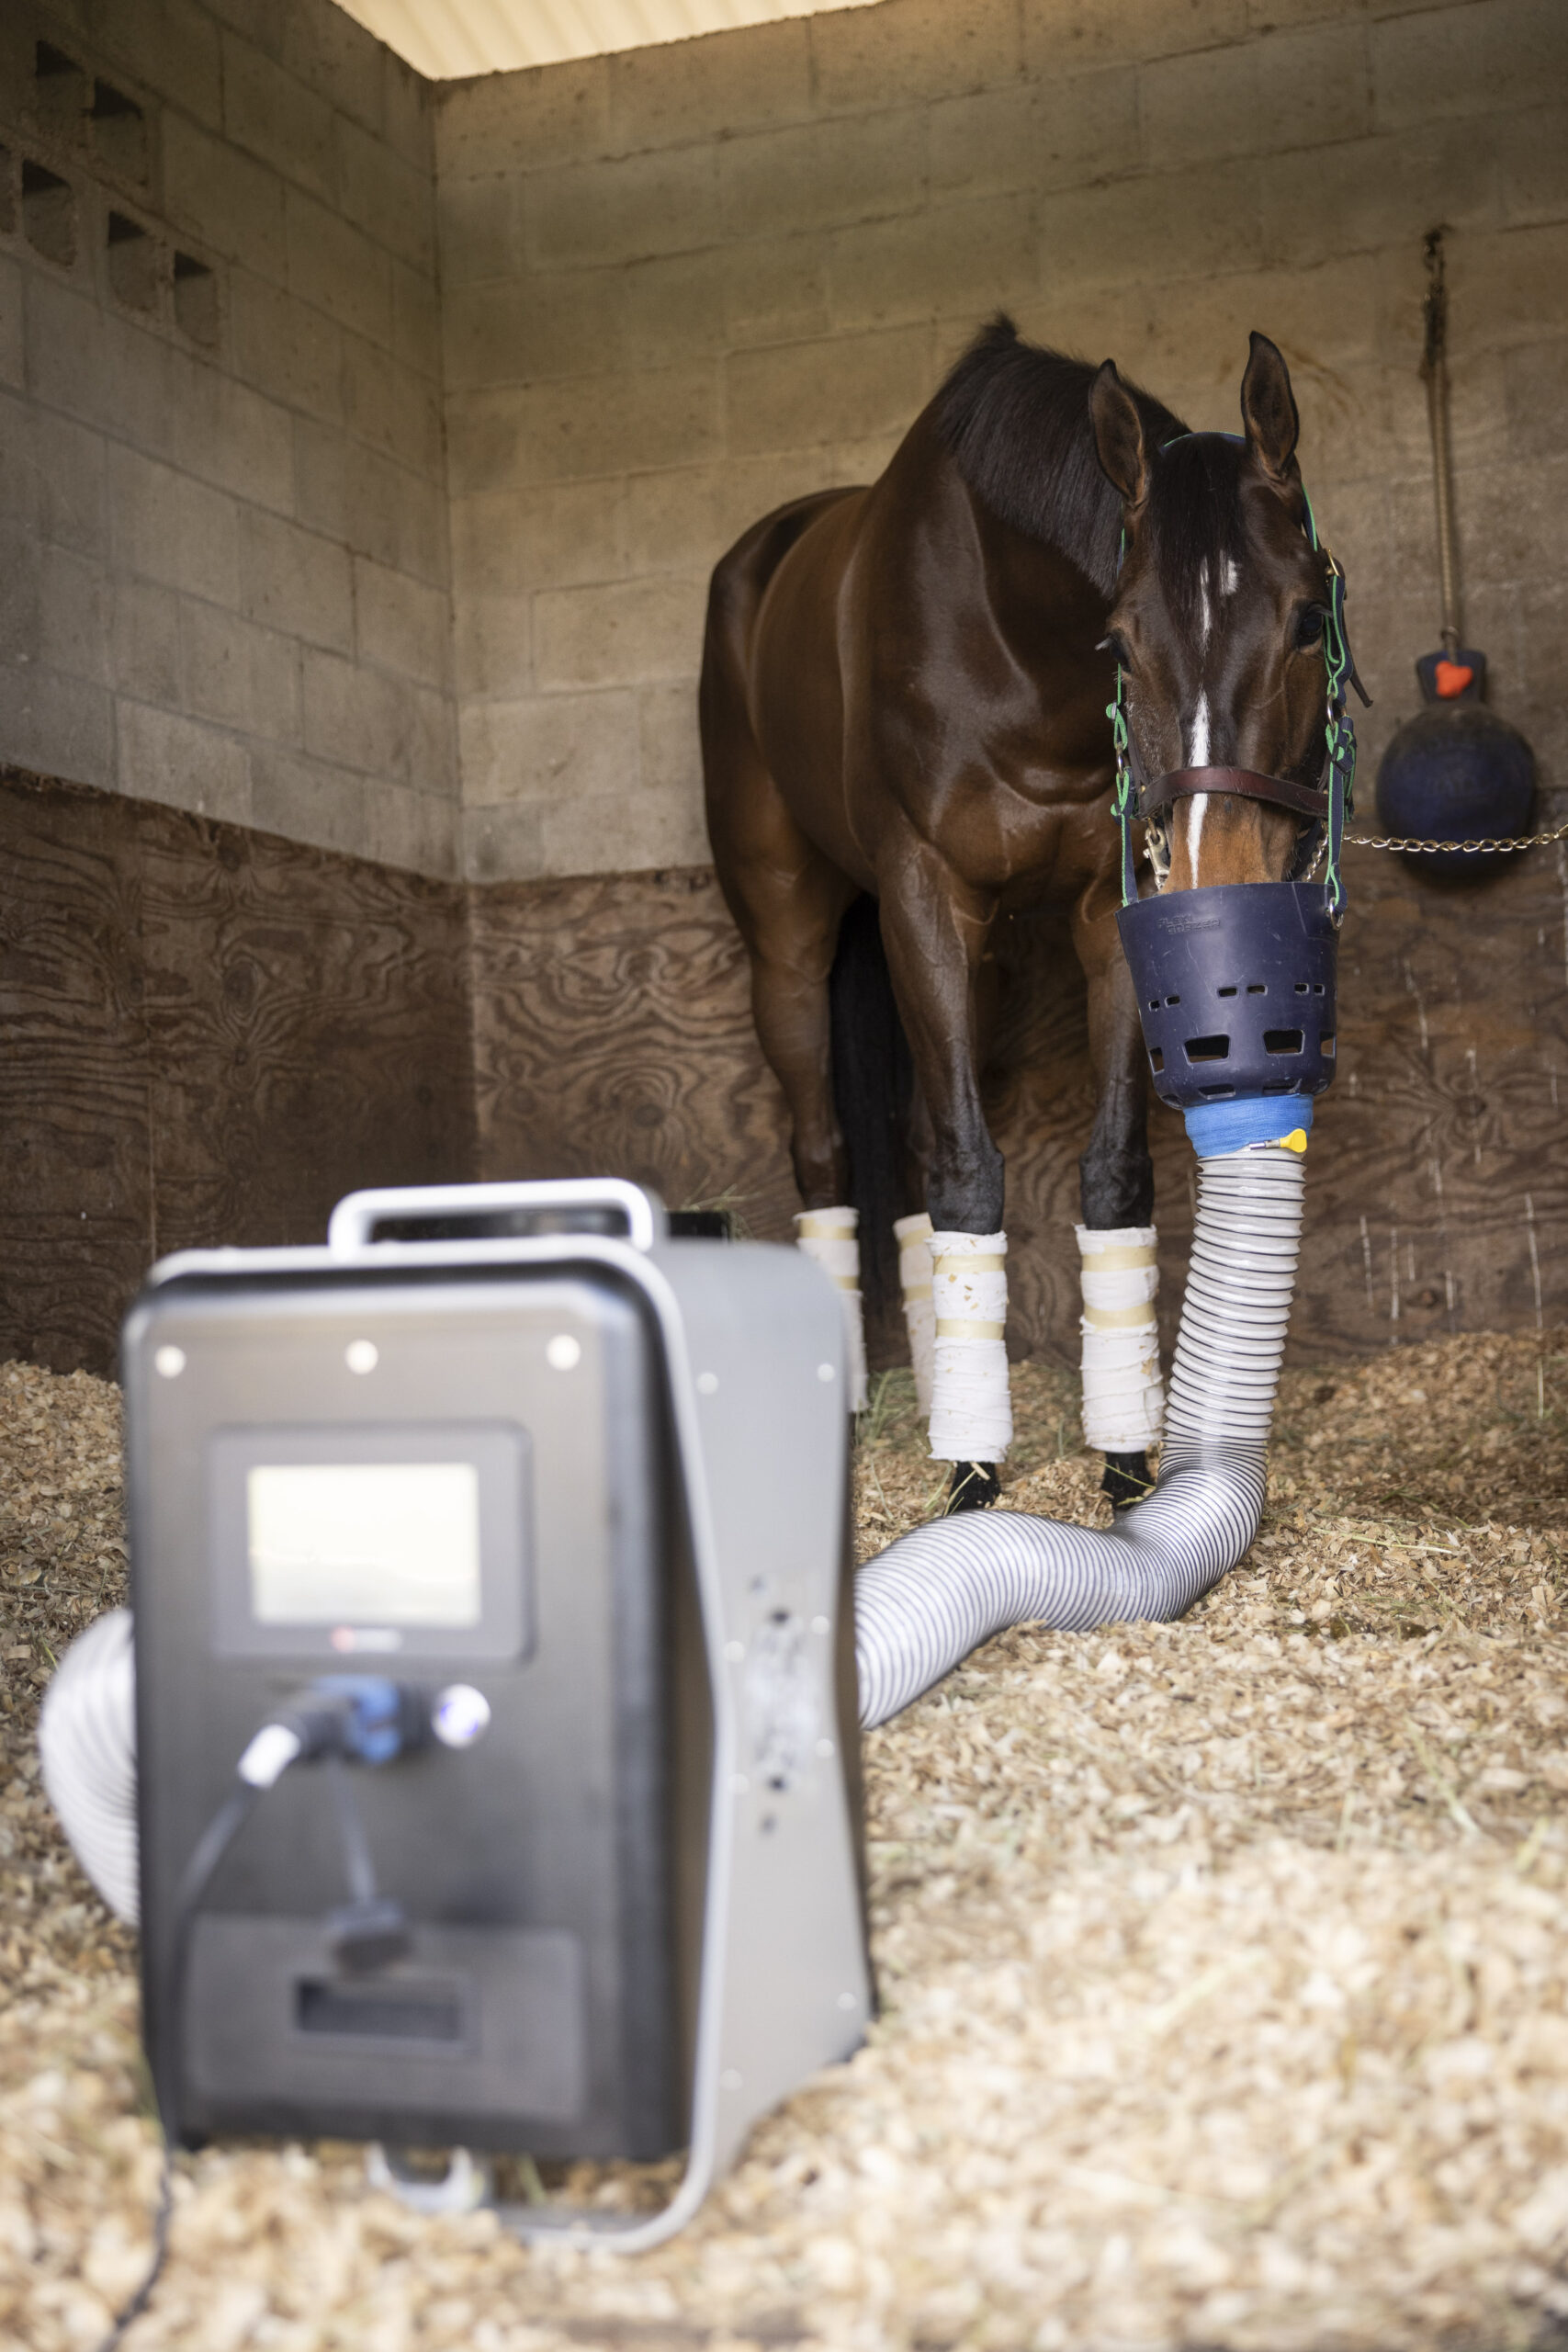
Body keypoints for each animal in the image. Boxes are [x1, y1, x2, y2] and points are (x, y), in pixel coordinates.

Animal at [700, 317, 1343, 1509]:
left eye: (1307, 621)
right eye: (1120, 641)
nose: (1216, 866)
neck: (1012, 641)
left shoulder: (1104, 914)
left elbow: (1111, 1168)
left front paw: (1127, 1463)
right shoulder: (925, 896)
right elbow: (967, 1171)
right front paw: (968, 1471)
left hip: (975, 959)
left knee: (908, 1138)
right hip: (793, 939)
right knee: (825, 1147)